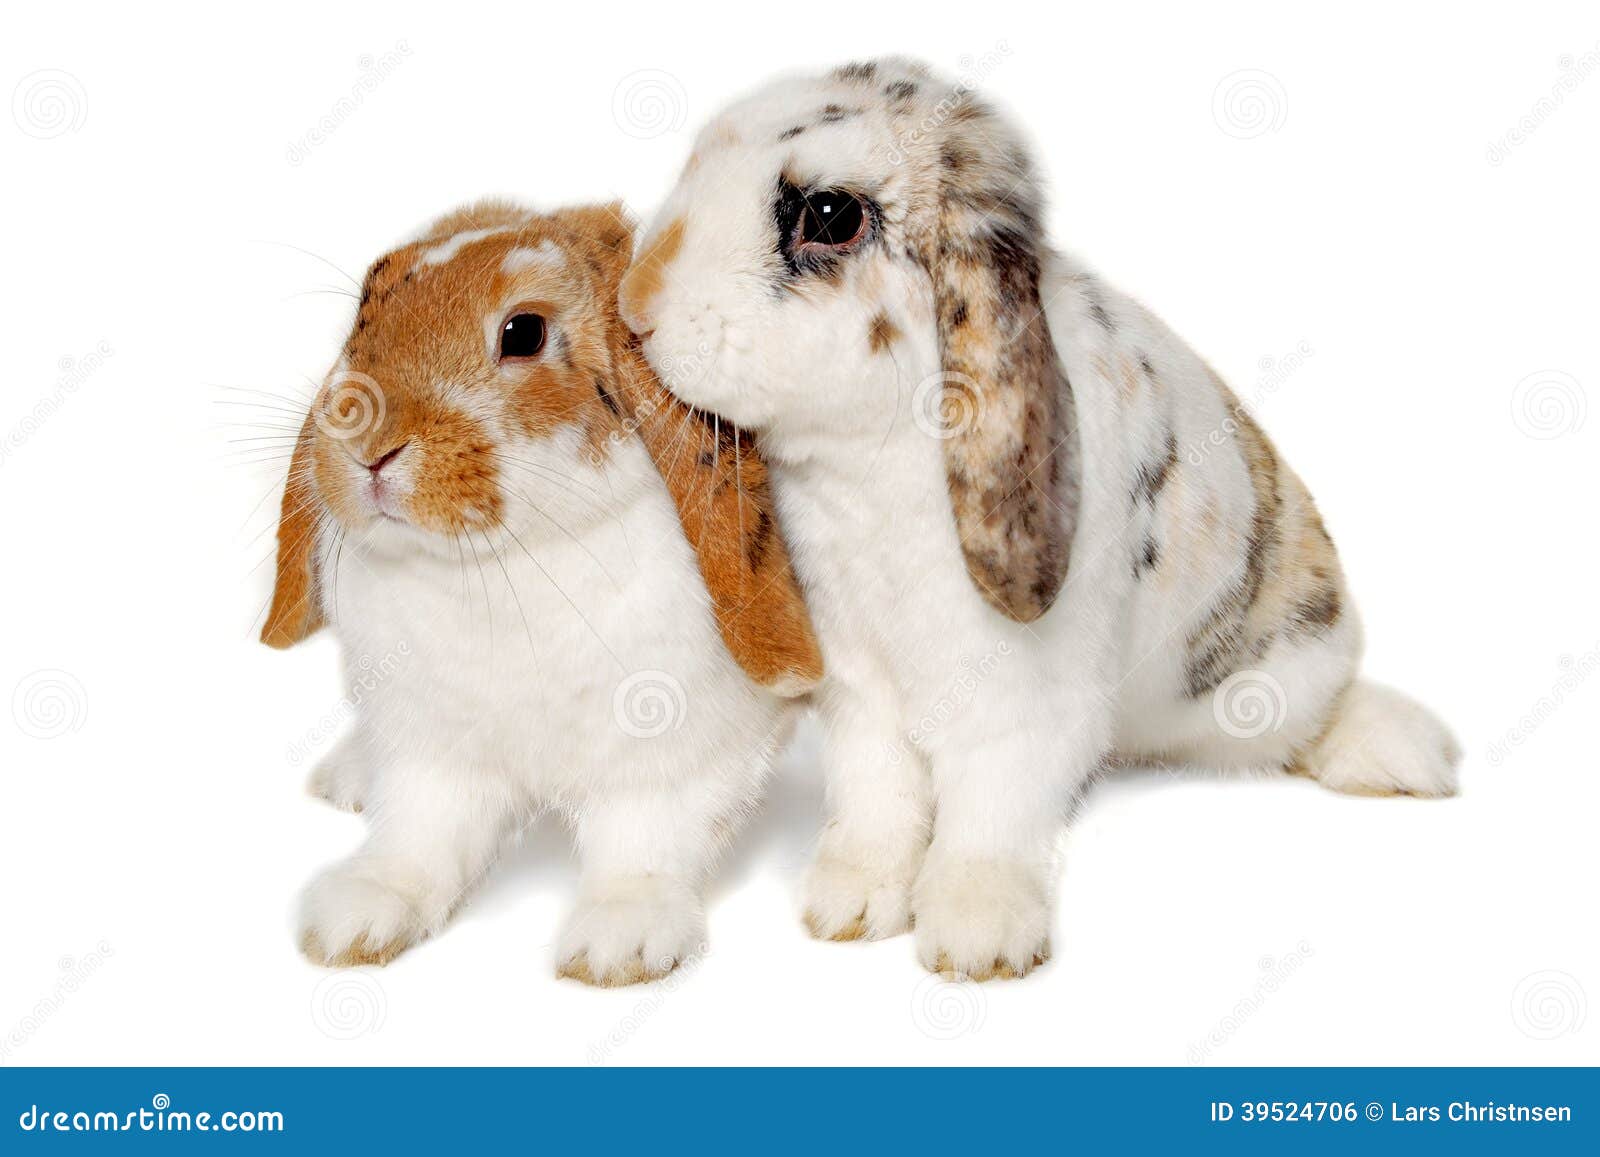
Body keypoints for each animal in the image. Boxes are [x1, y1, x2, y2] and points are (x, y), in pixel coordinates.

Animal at [260, 200, 822, 985]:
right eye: (364, 315)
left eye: (522, 332)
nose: (363, 436)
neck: (504, 569)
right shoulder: (431, 753)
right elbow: (419, 835)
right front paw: (357, 916)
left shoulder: (678, 754)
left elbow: (644, 837)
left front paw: (620, 941)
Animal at [616, 58, 1461, 980]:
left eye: (830, 215)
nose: (637, 302)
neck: (865, 460)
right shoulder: (860, 680)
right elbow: (878, 793)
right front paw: (851, 902)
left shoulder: (1023, 697)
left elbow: (992, 809)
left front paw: (975, 937)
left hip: (1278, 672)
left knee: (1321, 713)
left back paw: (1403, 753)